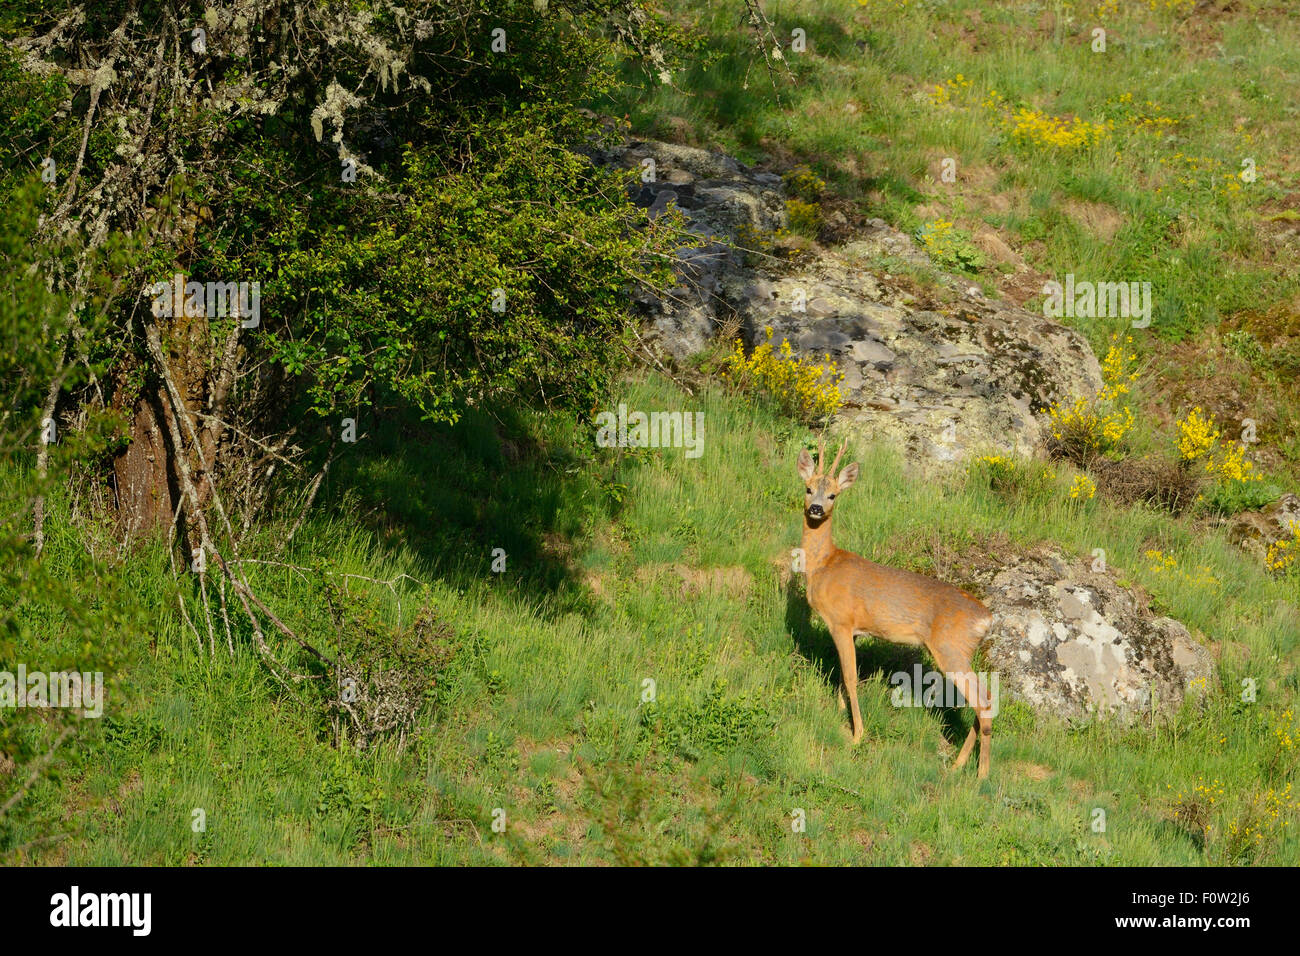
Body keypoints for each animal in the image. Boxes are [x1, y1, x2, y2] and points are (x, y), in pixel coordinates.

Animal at [797, 439, 995, 778]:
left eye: (833, 494)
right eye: (809, 488)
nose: (816, 508)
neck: (823, 565)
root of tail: (987, 619)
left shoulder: (841, 621)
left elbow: (851, 677)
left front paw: (856, 735)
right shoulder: (855, 630)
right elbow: (842, 675)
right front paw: (840, 711)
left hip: (950, 648)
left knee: (982, 702)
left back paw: (980, 776)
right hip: (964, 651)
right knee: (985, 697)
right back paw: (958, 765)